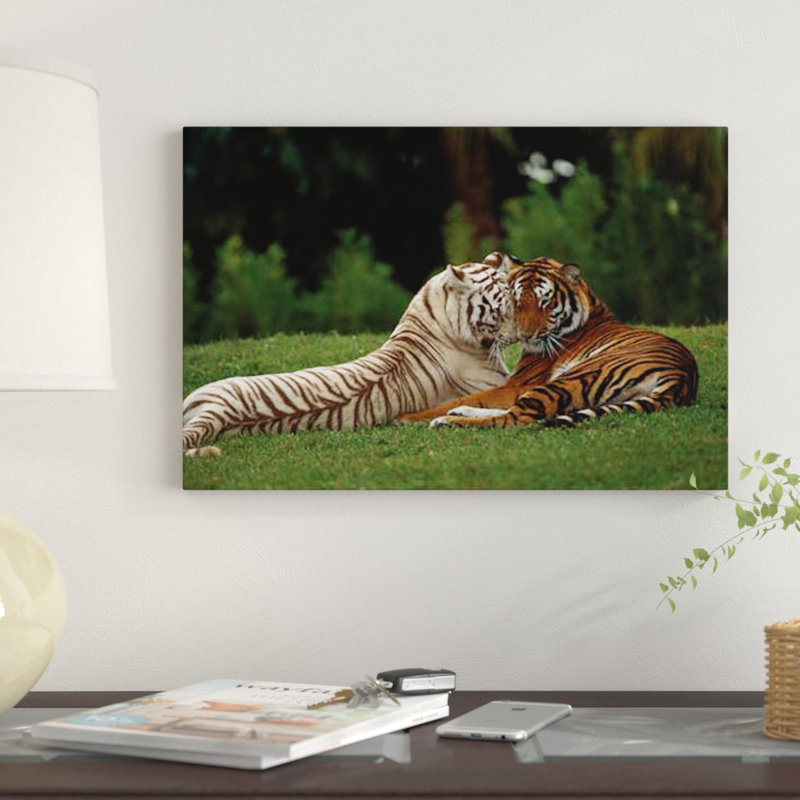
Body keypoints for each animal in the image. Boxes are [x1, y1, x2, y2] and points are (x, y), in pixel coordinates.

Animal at [398, 252, 698, 429]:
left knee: (518, 417)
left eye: (546, 300)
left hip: (573, 377)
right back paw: (458, 413)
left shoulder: (519, 384)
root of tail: (682, 378)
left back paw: (446, 420)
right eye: (517, 300)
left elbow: (475, 397)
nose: (525, 335)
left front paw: (407, 417)